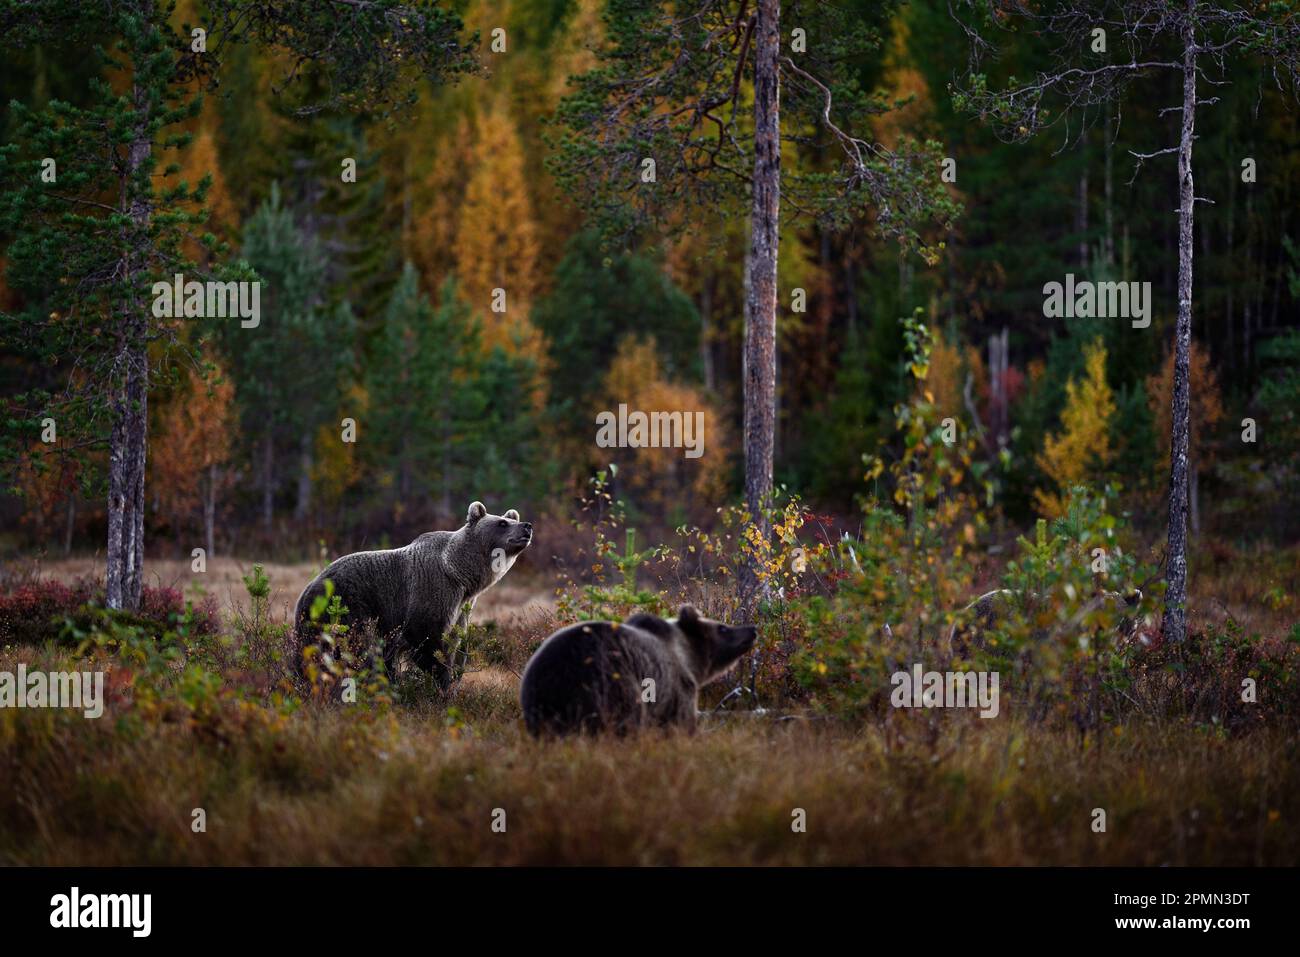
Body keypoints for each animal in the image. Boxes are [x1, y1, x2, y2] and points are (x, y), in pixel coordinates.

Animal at [292, 501, 532, 687]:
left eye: (511, 519)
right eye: (502, 523)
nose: (527, 526)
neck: (461, 574)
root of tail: (308, 587)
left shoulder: (463, 607)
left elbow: (455, 643)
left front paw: (453, 676)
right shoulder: (432, 590)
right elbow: (426, 638)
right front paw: (442, 679)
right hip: (348, 607)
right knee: (353, 647)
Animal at [519, 605, 757, 736]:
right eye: (722, 628)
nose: (752, 628)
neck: (690, 661)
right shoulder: (678, 688)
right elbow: (682, 723)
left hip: (542, 702)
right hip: (610, 683)